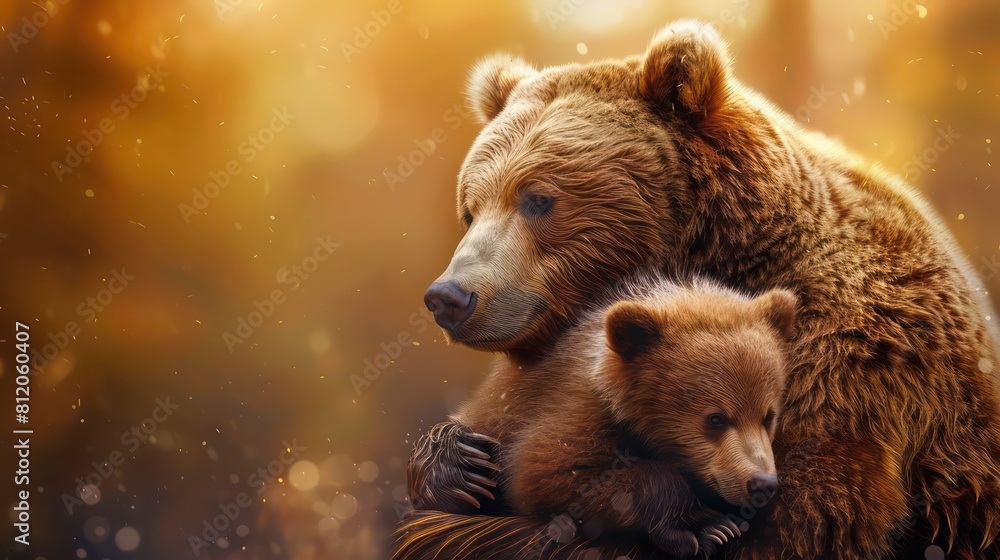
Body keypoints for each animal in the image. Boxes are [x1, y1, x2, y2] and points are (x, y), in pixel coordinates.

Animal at [395, 20, 1000, 560]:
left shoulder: (850, 366)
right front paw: (457, 463)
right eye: (470, 208)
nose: (449, 297)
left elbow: (797, 521)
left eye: (538, 199)